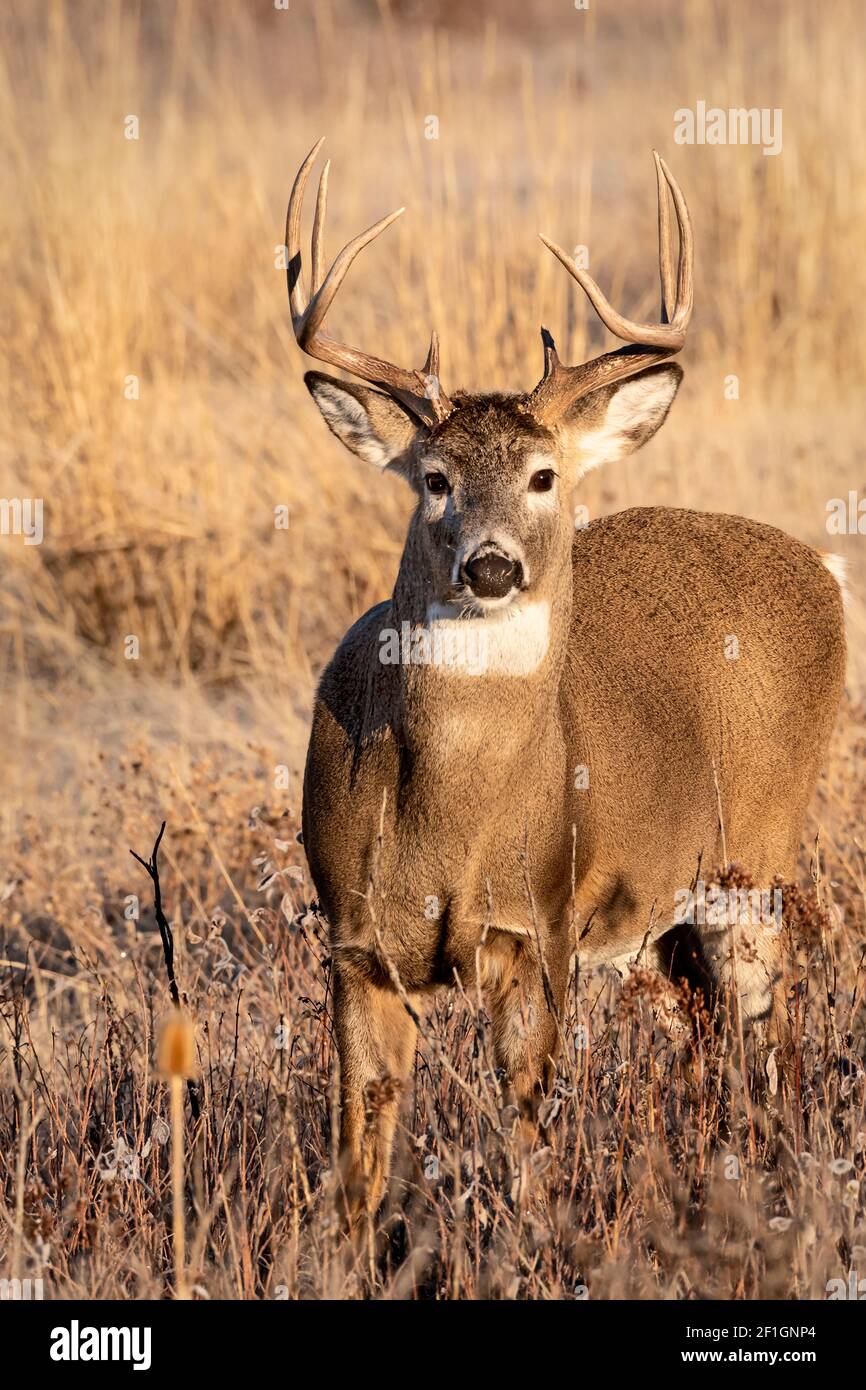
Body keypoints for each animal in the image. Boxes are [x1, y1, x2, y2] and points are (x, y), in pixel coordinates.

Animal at [287, 138, 846, 1219]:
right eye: (434, 479)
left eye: (543, 476)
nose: (490, 566)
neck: (446, 829)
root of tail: (819, 569)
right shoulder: (353, 944)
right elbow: (357, 1166)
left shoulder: (536, 927)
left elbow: (527, 1147)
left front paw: (531, 1239)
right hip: (658, 921)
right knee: (704, 1036)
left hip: (754, 857)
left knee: (767, 1044)